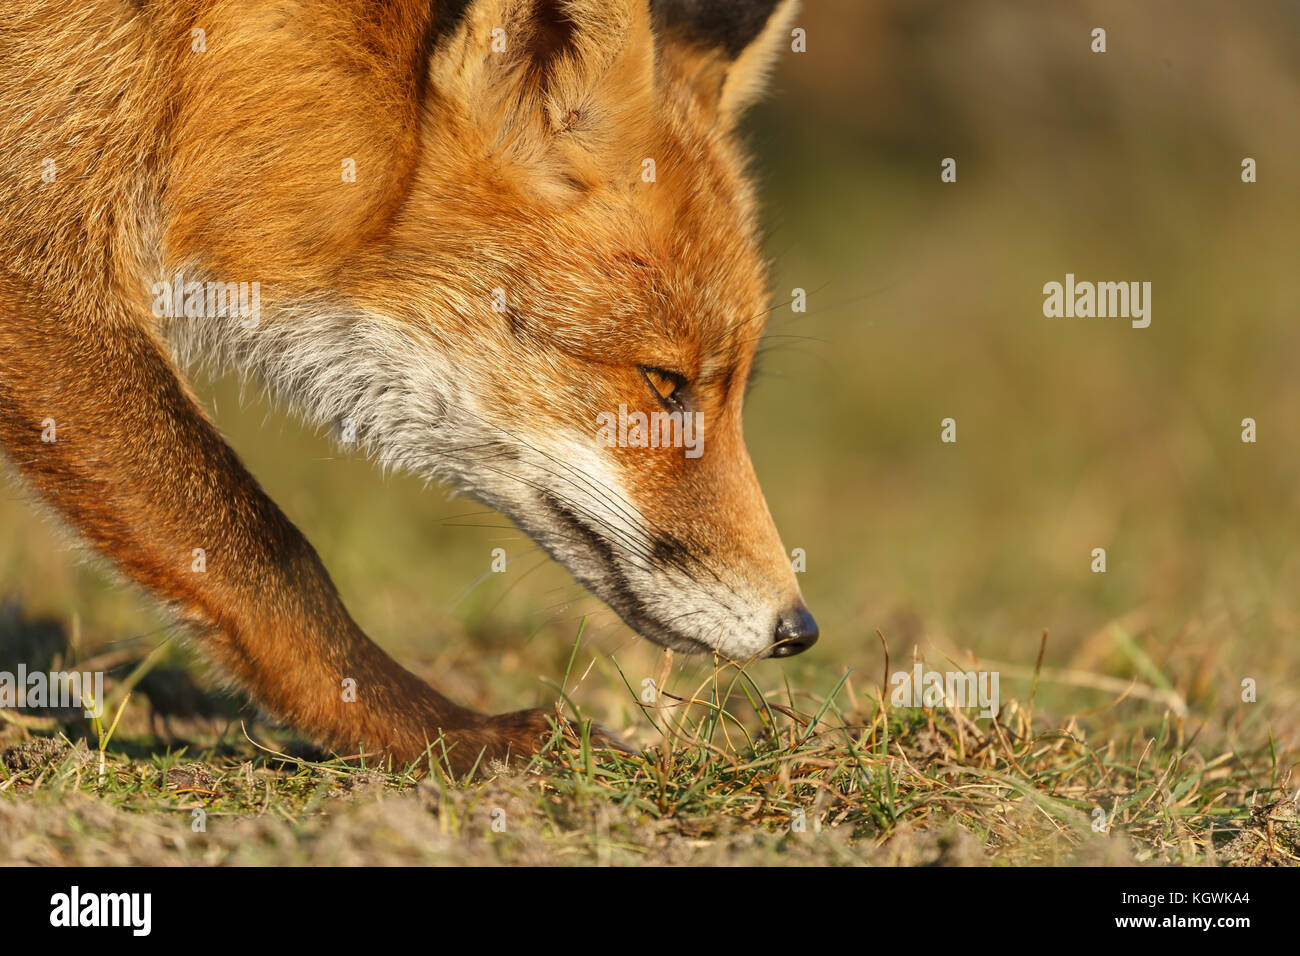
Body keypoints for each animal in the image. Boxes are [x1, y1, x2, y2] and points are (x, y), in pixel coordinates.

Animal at [0, 0, 818, 775]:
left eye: (734, 392)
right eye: (663, 381)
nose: (799, 630)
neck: (200, 66)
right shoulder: (37, 273)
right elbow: (268, 555)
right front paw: (443, 736)